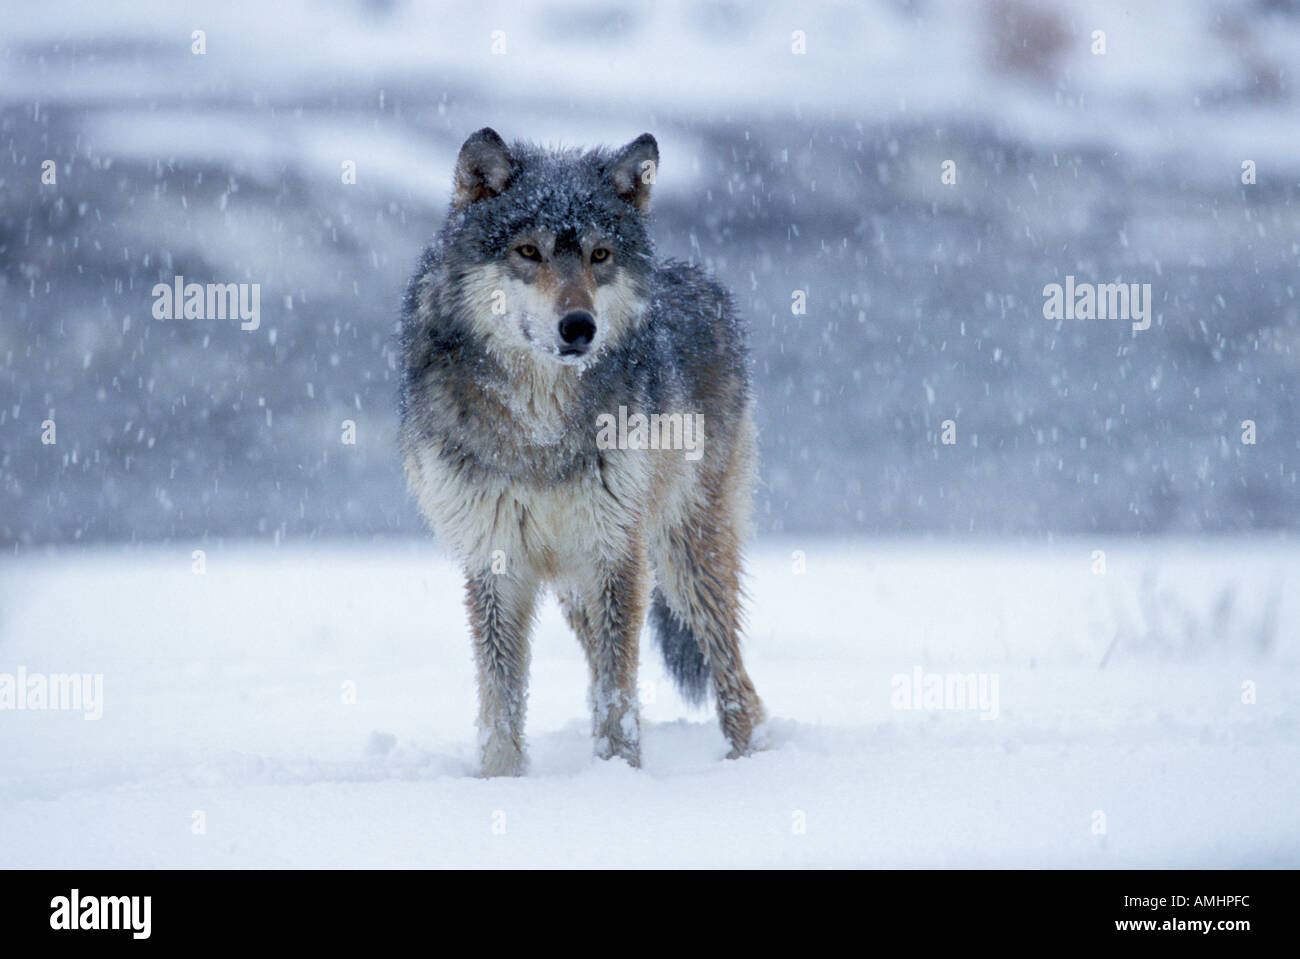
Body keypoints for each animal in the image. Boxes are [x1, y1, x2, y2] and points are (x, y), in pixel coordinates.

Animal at [399, 128, 765, 777]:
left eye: (599, 255)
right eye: (528, 252)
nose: (579, 327)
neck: (539, 427)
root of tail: (700, 280)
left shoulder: (616, 554)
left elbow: (618, 695)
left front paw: (617, 775)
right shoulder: (497, 561)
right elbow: (501, 702)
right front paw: (501, 782)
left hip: (683, 557)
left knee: (736, 683)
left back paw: (750, 761)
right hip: (579, 583)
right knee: (599, 663)